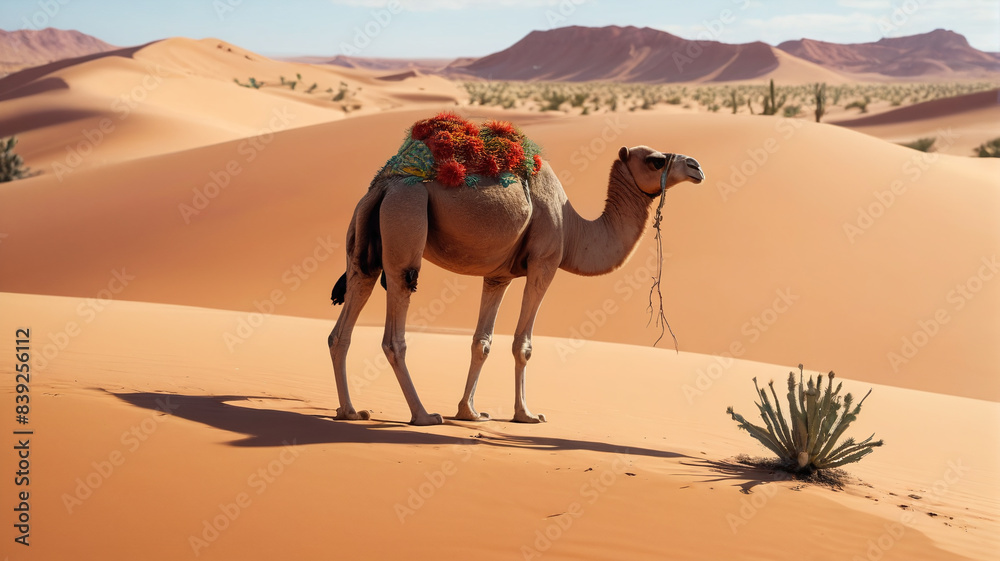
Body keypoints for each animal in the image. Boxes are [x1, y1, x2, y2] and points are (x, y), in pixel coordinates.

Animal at [328, 119, 704, 426]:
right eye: (655, 160)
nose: (696, 166)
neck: (573, 230)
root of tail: (384, 186)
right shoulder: (544, 262)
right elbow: (523, 345)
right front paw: (526, 413)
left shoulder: (499, 275)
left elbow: (481, 342)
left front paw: (470, 412)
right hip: (406, 214)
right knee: (395, 324)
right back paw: (422, 415)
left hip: (364, 238)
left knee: (344, 320)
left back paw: (350, 411)